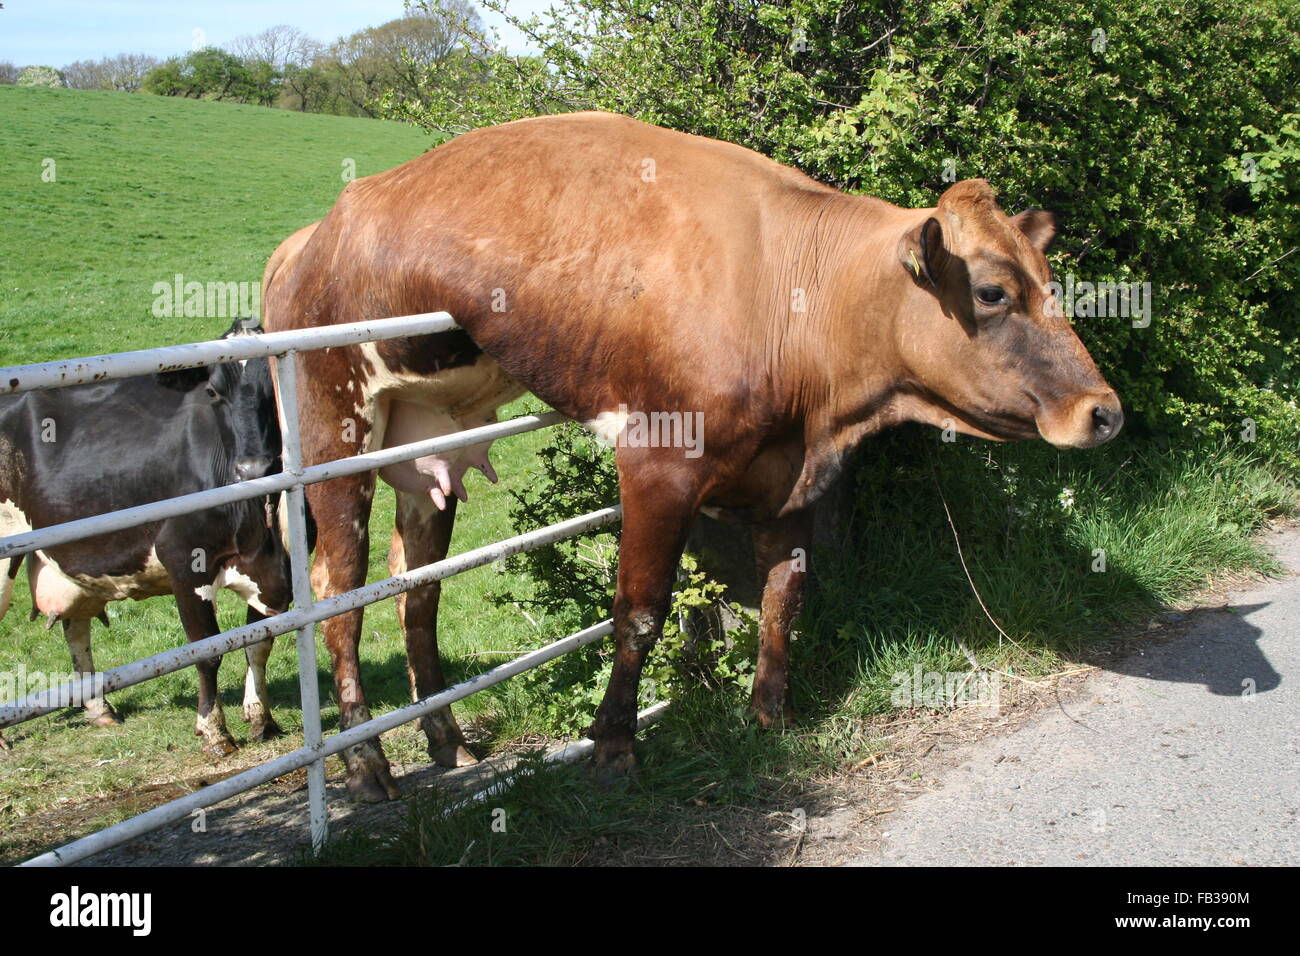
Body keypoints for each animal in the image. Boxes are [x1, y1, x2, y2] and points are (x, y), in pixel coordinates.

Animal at [0, 320, 291, 754]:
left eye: (273, 386)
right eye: (212, 392)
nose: (253, 469)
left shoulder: (276, 569)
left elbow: (260, 642)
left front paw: (261, 718)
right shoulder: (184, 561)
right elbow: (207, 651)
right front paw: (214, 731)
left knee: (76, 629)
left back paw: (99, 709)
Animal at [266, 111, 1122, 798]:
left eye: (1049, 279)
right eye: (993, 293)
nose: (1104, 412)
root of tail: (310, 238)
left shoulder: (788, 480)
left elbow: (782, 597)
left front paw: (769, 717)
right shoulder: (658, 467)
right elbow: (639, 613)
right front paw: (614, 746)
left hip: (424, 446)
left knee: (416, 591)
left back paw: (448, 743)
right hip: (333, 429)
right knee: (338, 594)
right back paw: (368, 767)